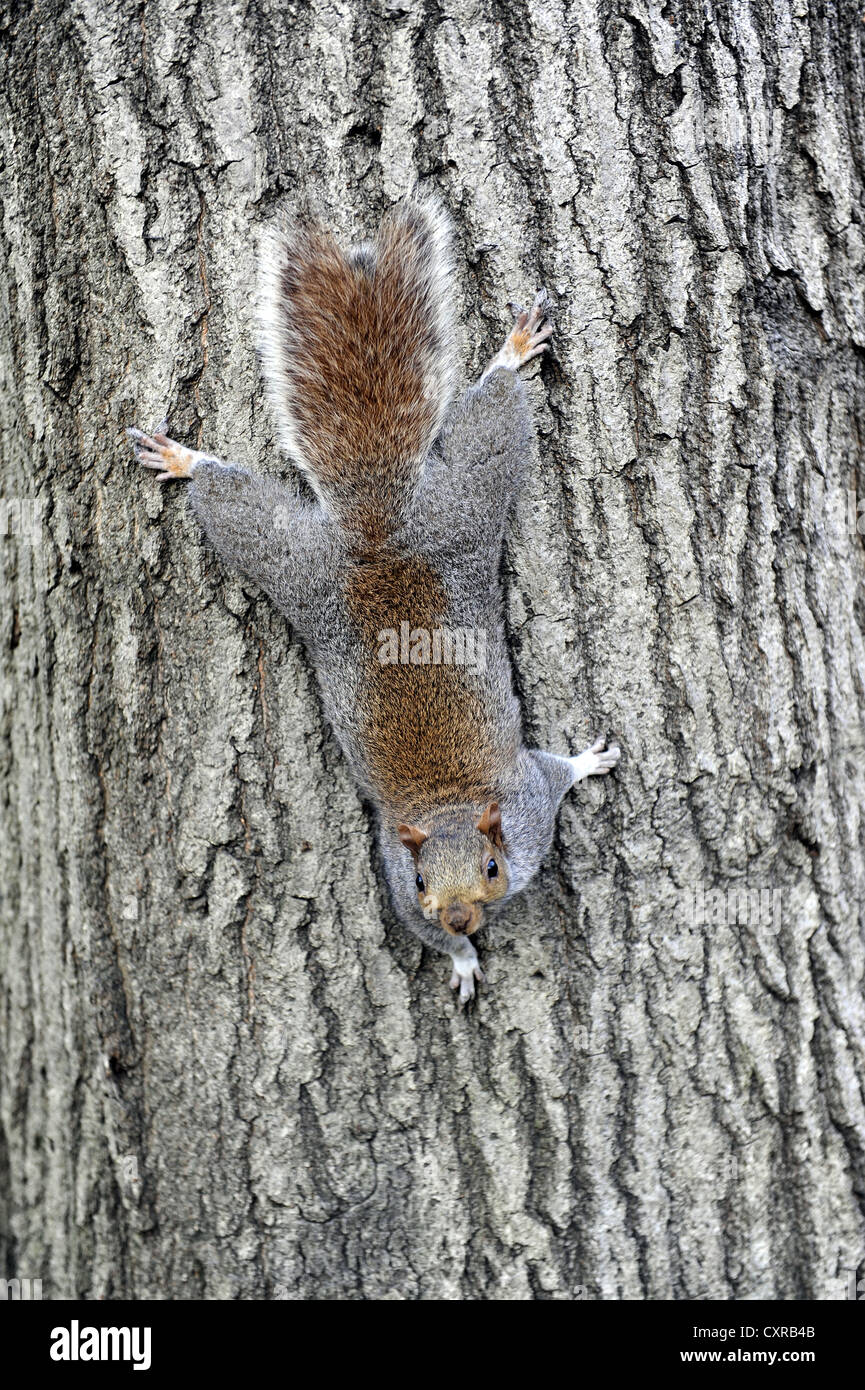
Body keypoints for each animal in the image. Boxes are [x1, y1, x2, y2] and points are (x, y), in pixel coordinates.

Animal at [128, 193, 621, 1002]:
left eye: (492, 867)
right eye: (422, 882)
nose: (460, 916)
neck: (448, 807)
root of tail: (377, 527)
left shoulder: (528, 809)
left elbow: (558, 774)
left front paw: (589, 760)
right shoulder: (393, 872)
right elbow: (417, 930)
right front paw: (460, 959)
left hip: (447, 509)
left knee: (489, 424)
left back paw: (512, 350)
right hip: (303, 560)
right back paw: (183, 457)